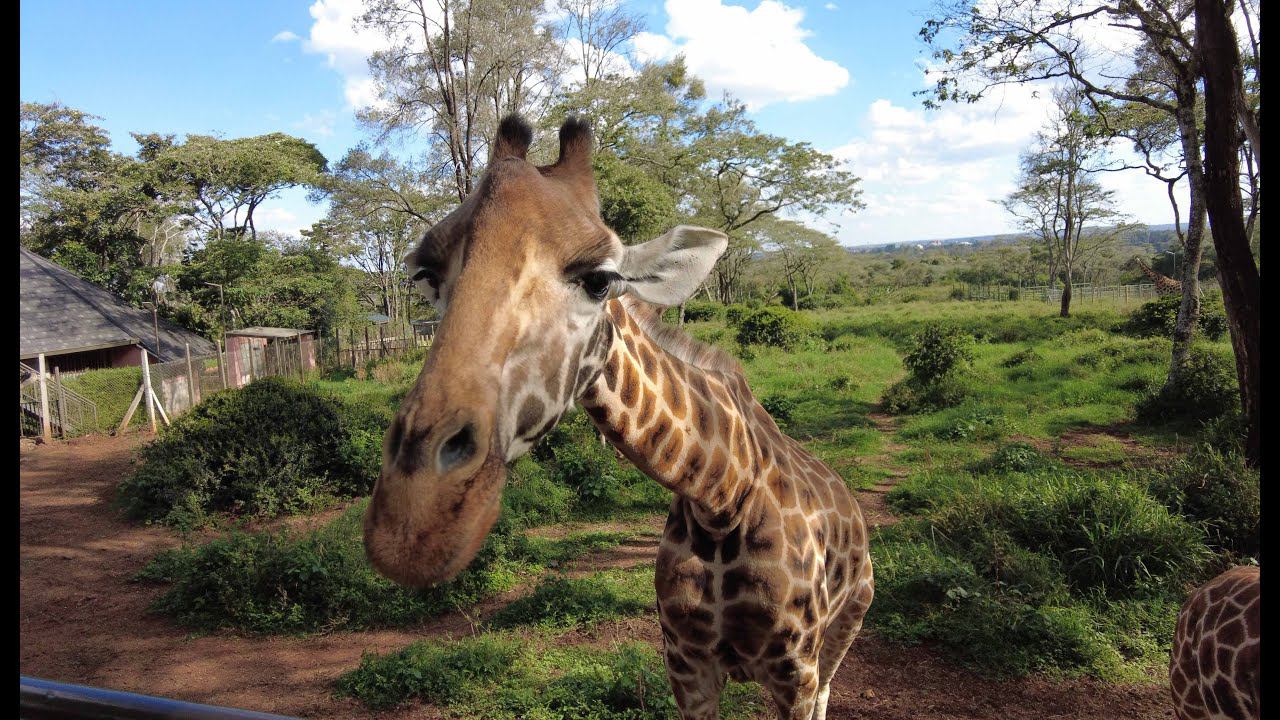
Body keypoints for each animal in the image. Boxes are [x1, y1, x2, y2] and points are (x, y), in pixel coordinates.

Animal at [363, 115, 873, 720]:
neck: (722, 498)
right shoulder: (686, 665)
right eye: (428, 276)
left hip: (844, 630)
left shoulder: (795, 670)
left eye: (599, 279)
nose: (413, 524)